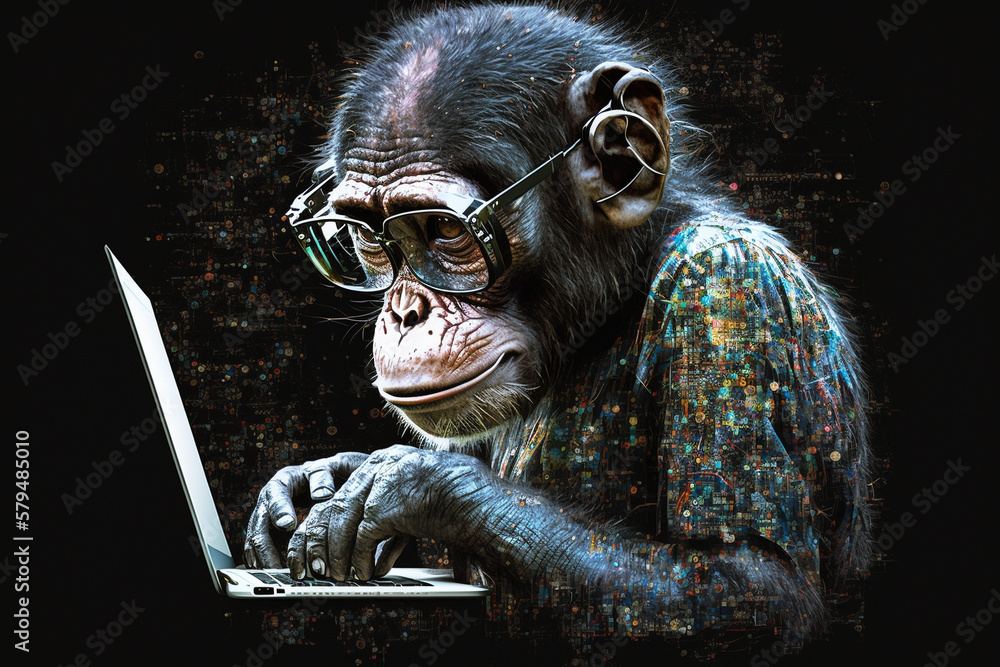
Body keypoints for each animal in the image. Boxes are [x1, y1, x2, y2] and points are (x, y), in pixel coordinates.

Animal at [243, 2, 872, 645]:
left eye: (444, 229)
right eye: (363, 234)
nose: (403, 311)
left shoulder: (728, 292)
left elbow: (754, 585)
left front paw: (399, 484)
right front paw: (314, 482)